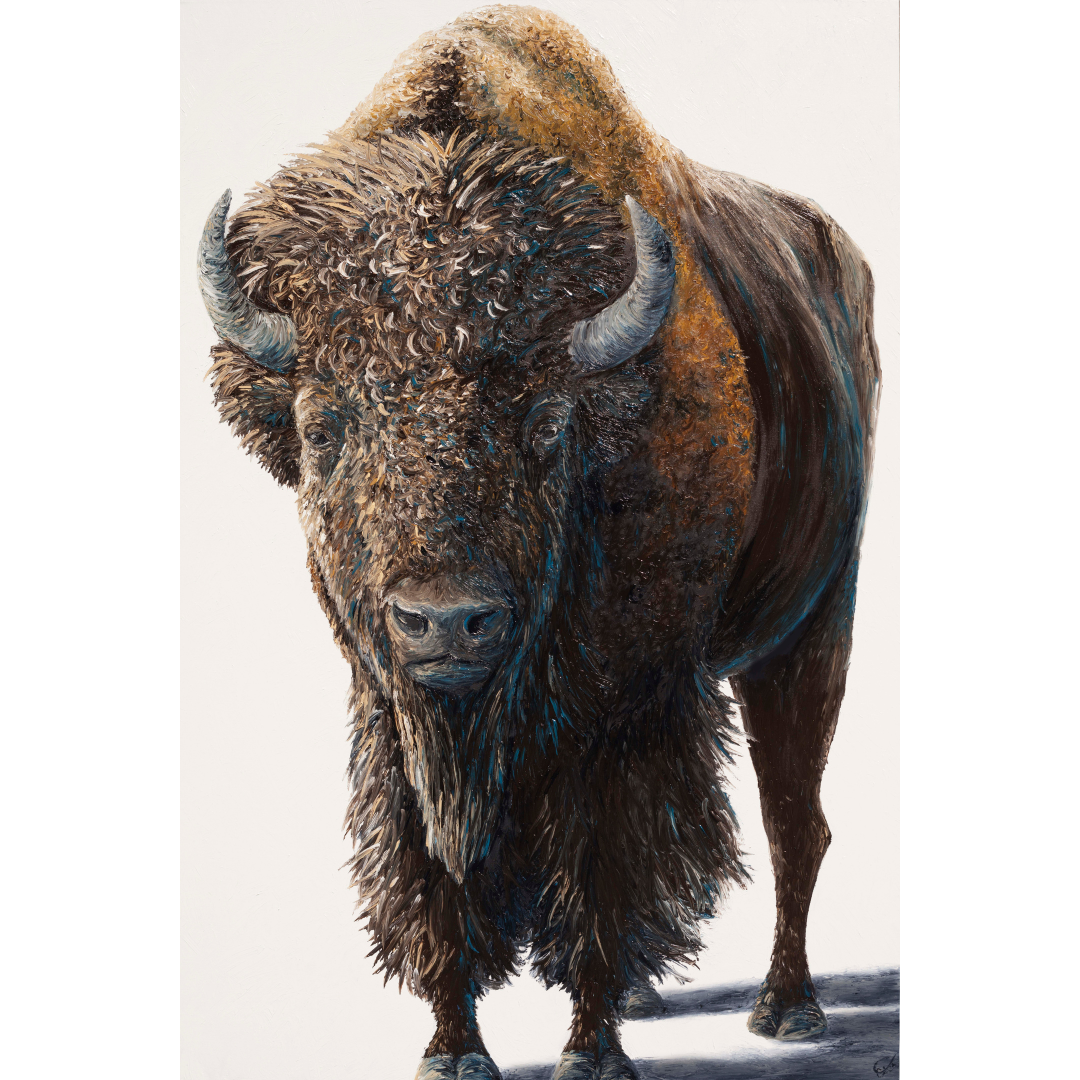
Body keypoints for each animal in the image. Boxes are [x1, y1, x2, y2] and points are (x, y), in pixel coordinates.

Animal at [197, 7, 879, 1079]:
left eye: (549, 425)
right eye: (322, 426)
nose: (447, 623)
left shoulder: (628, 710)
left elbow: (601, 866)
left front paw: (592, 1054)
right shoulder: (397, 710)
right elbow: (435, 875)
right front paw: (452, 1052)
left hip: (814, 628)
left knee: (793, 819)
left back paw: (786, 1009)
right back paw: (653, 999)